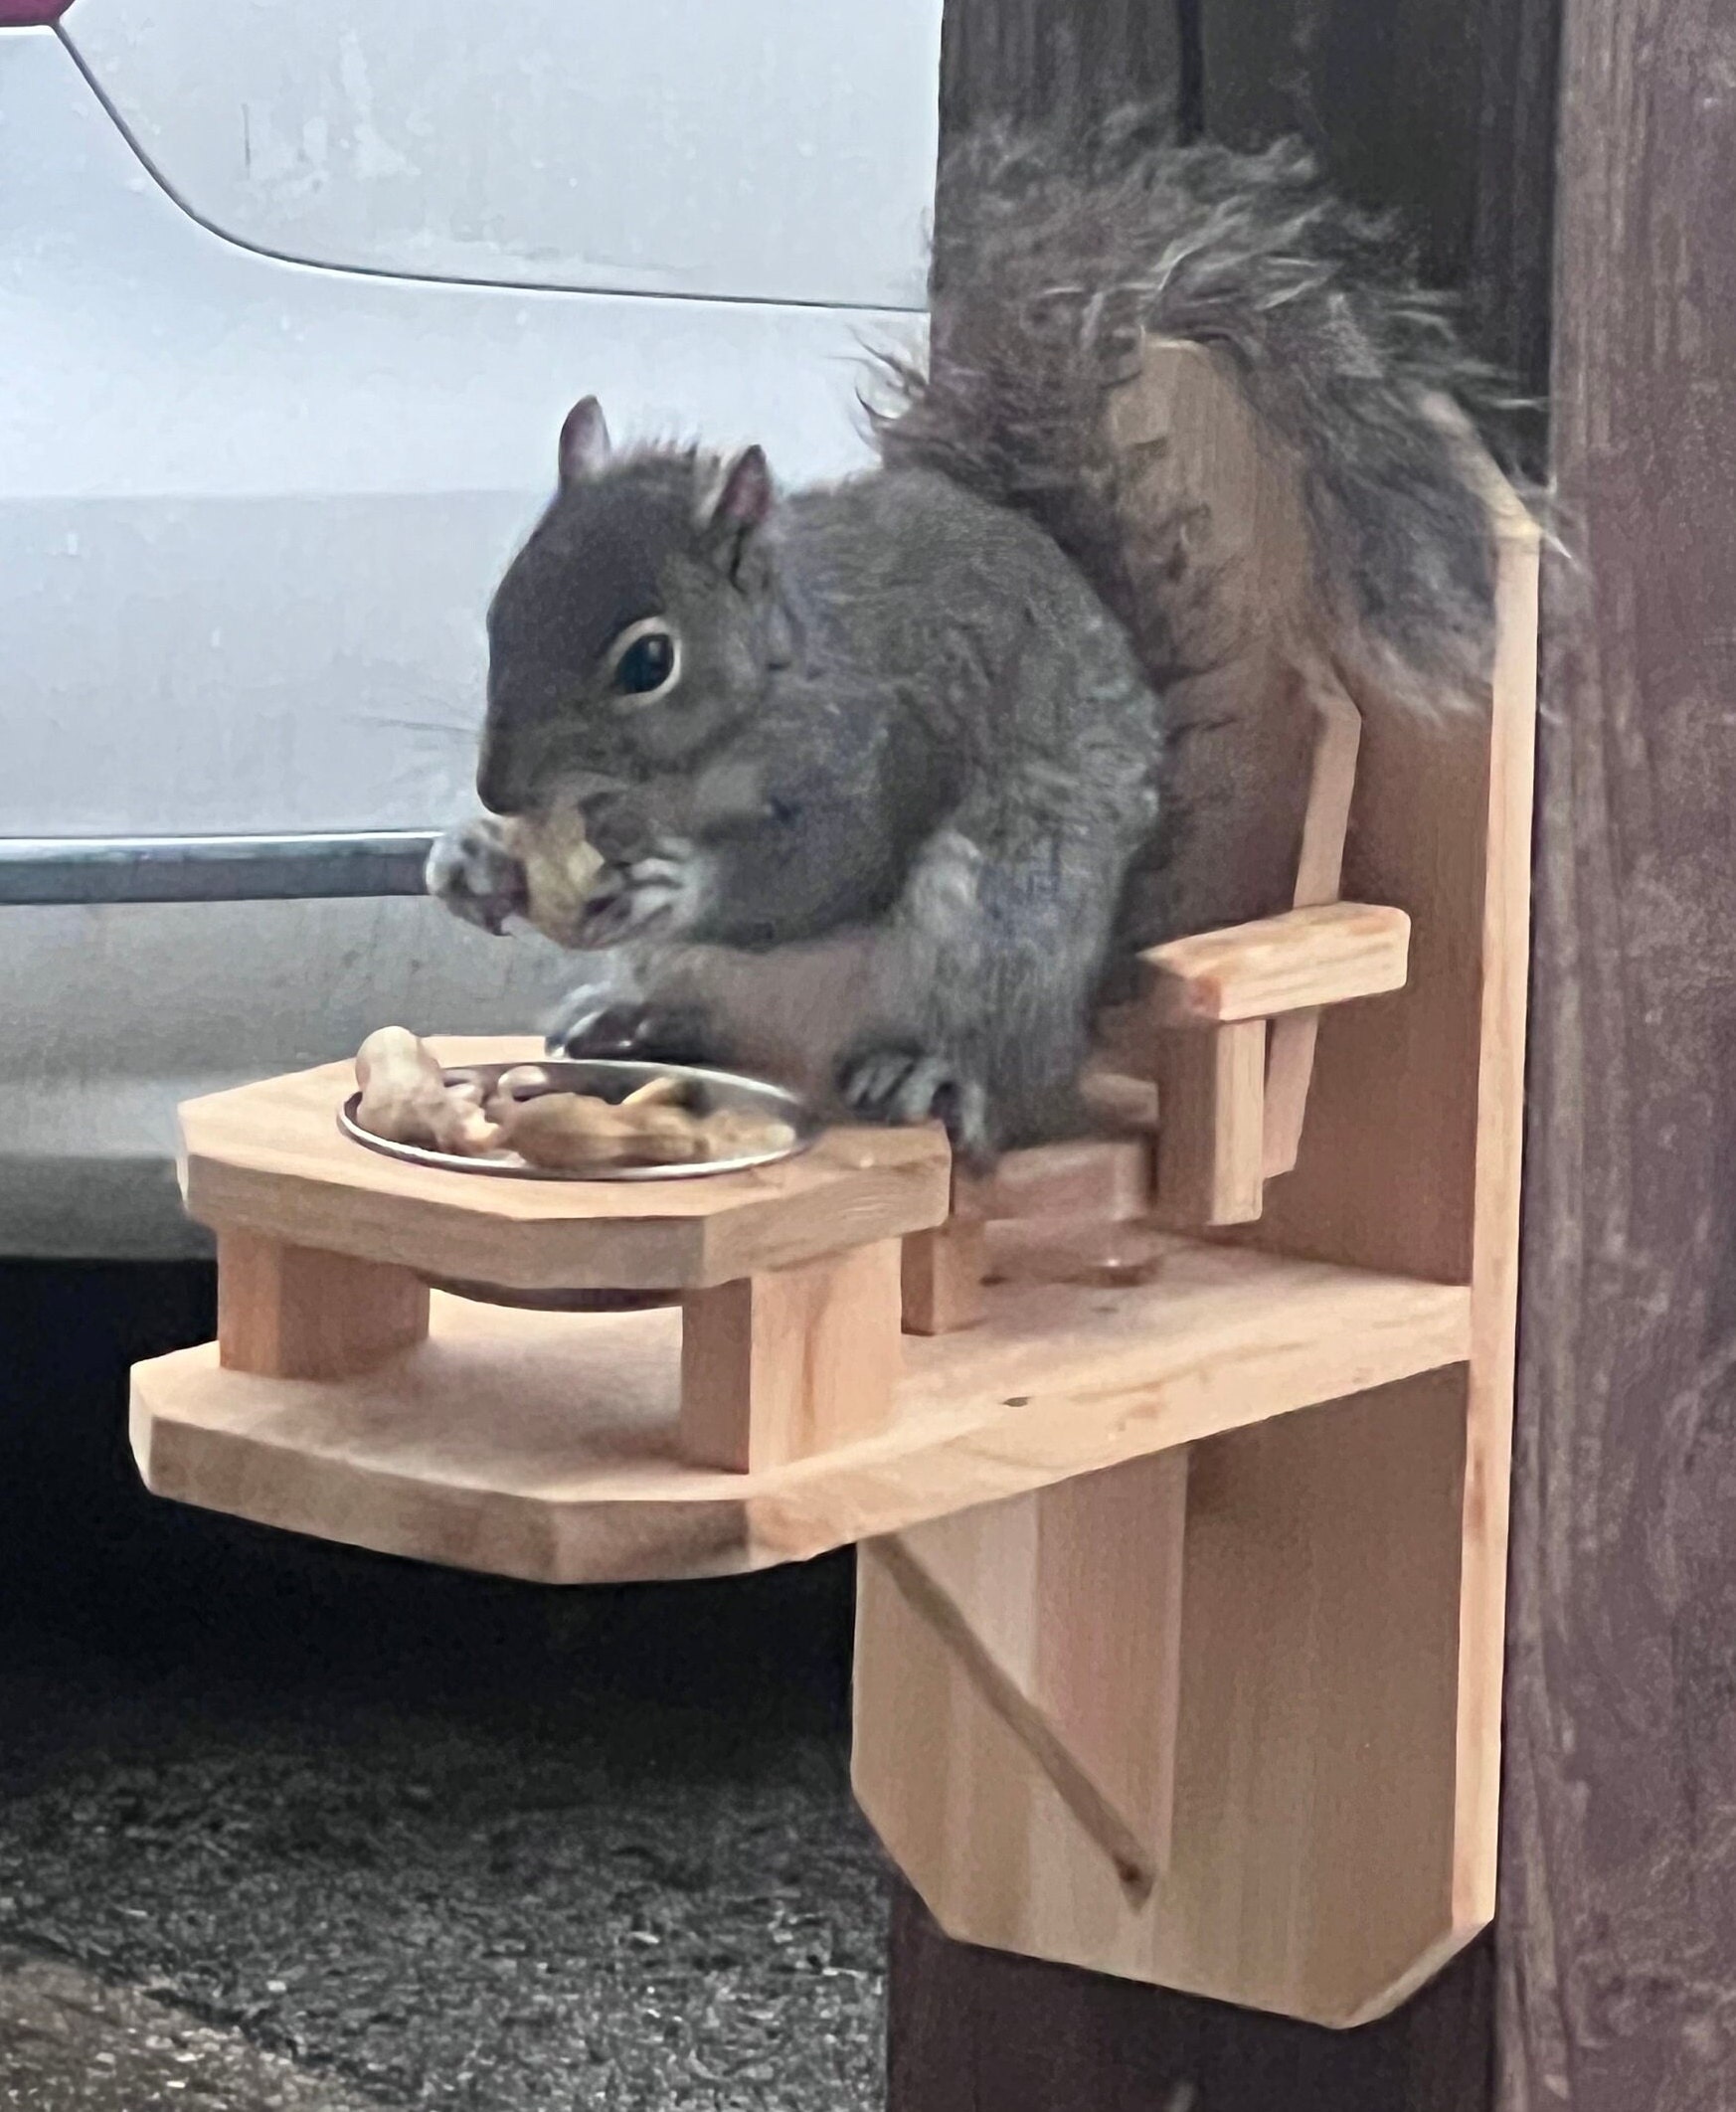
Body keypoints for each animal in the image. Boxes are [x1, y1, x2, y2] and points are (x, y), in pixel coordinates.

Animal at [428, 116, 1507, 1163]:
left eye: (649, 661)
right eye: (500, 603)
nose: (498, 790)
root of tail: (1072, 1034)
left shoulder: (872, 740)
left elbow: (835, 862)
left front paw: (679, 877)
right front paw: (472, 860)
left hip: (999, 910)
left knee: (998, 1083)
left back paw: (940, 1076)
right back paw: (634, 1017)